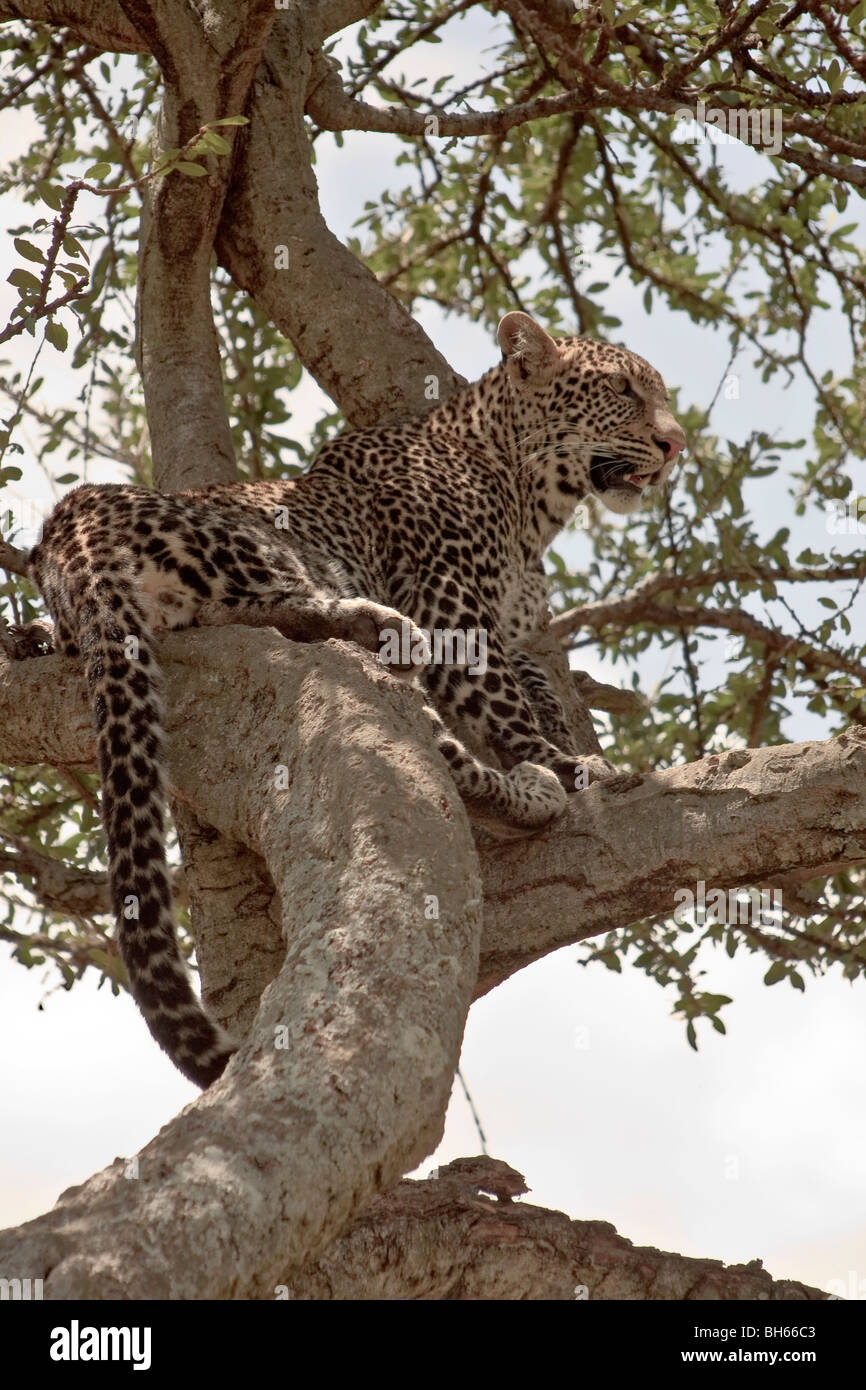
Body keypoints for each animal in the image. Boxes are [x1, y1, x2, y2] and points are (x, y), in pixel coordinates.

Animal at [22, 311, 685, 1088]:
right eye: (622, 391)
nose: (674, 444)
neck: (529, 501)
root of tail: (66, 533)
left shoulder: (509, 631)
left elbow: (539, 682)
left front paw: (566, 730)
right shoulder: (453, 610)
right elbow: (507, 707)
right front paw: (570, 764)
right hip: (277, 553)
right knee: (370, 676)